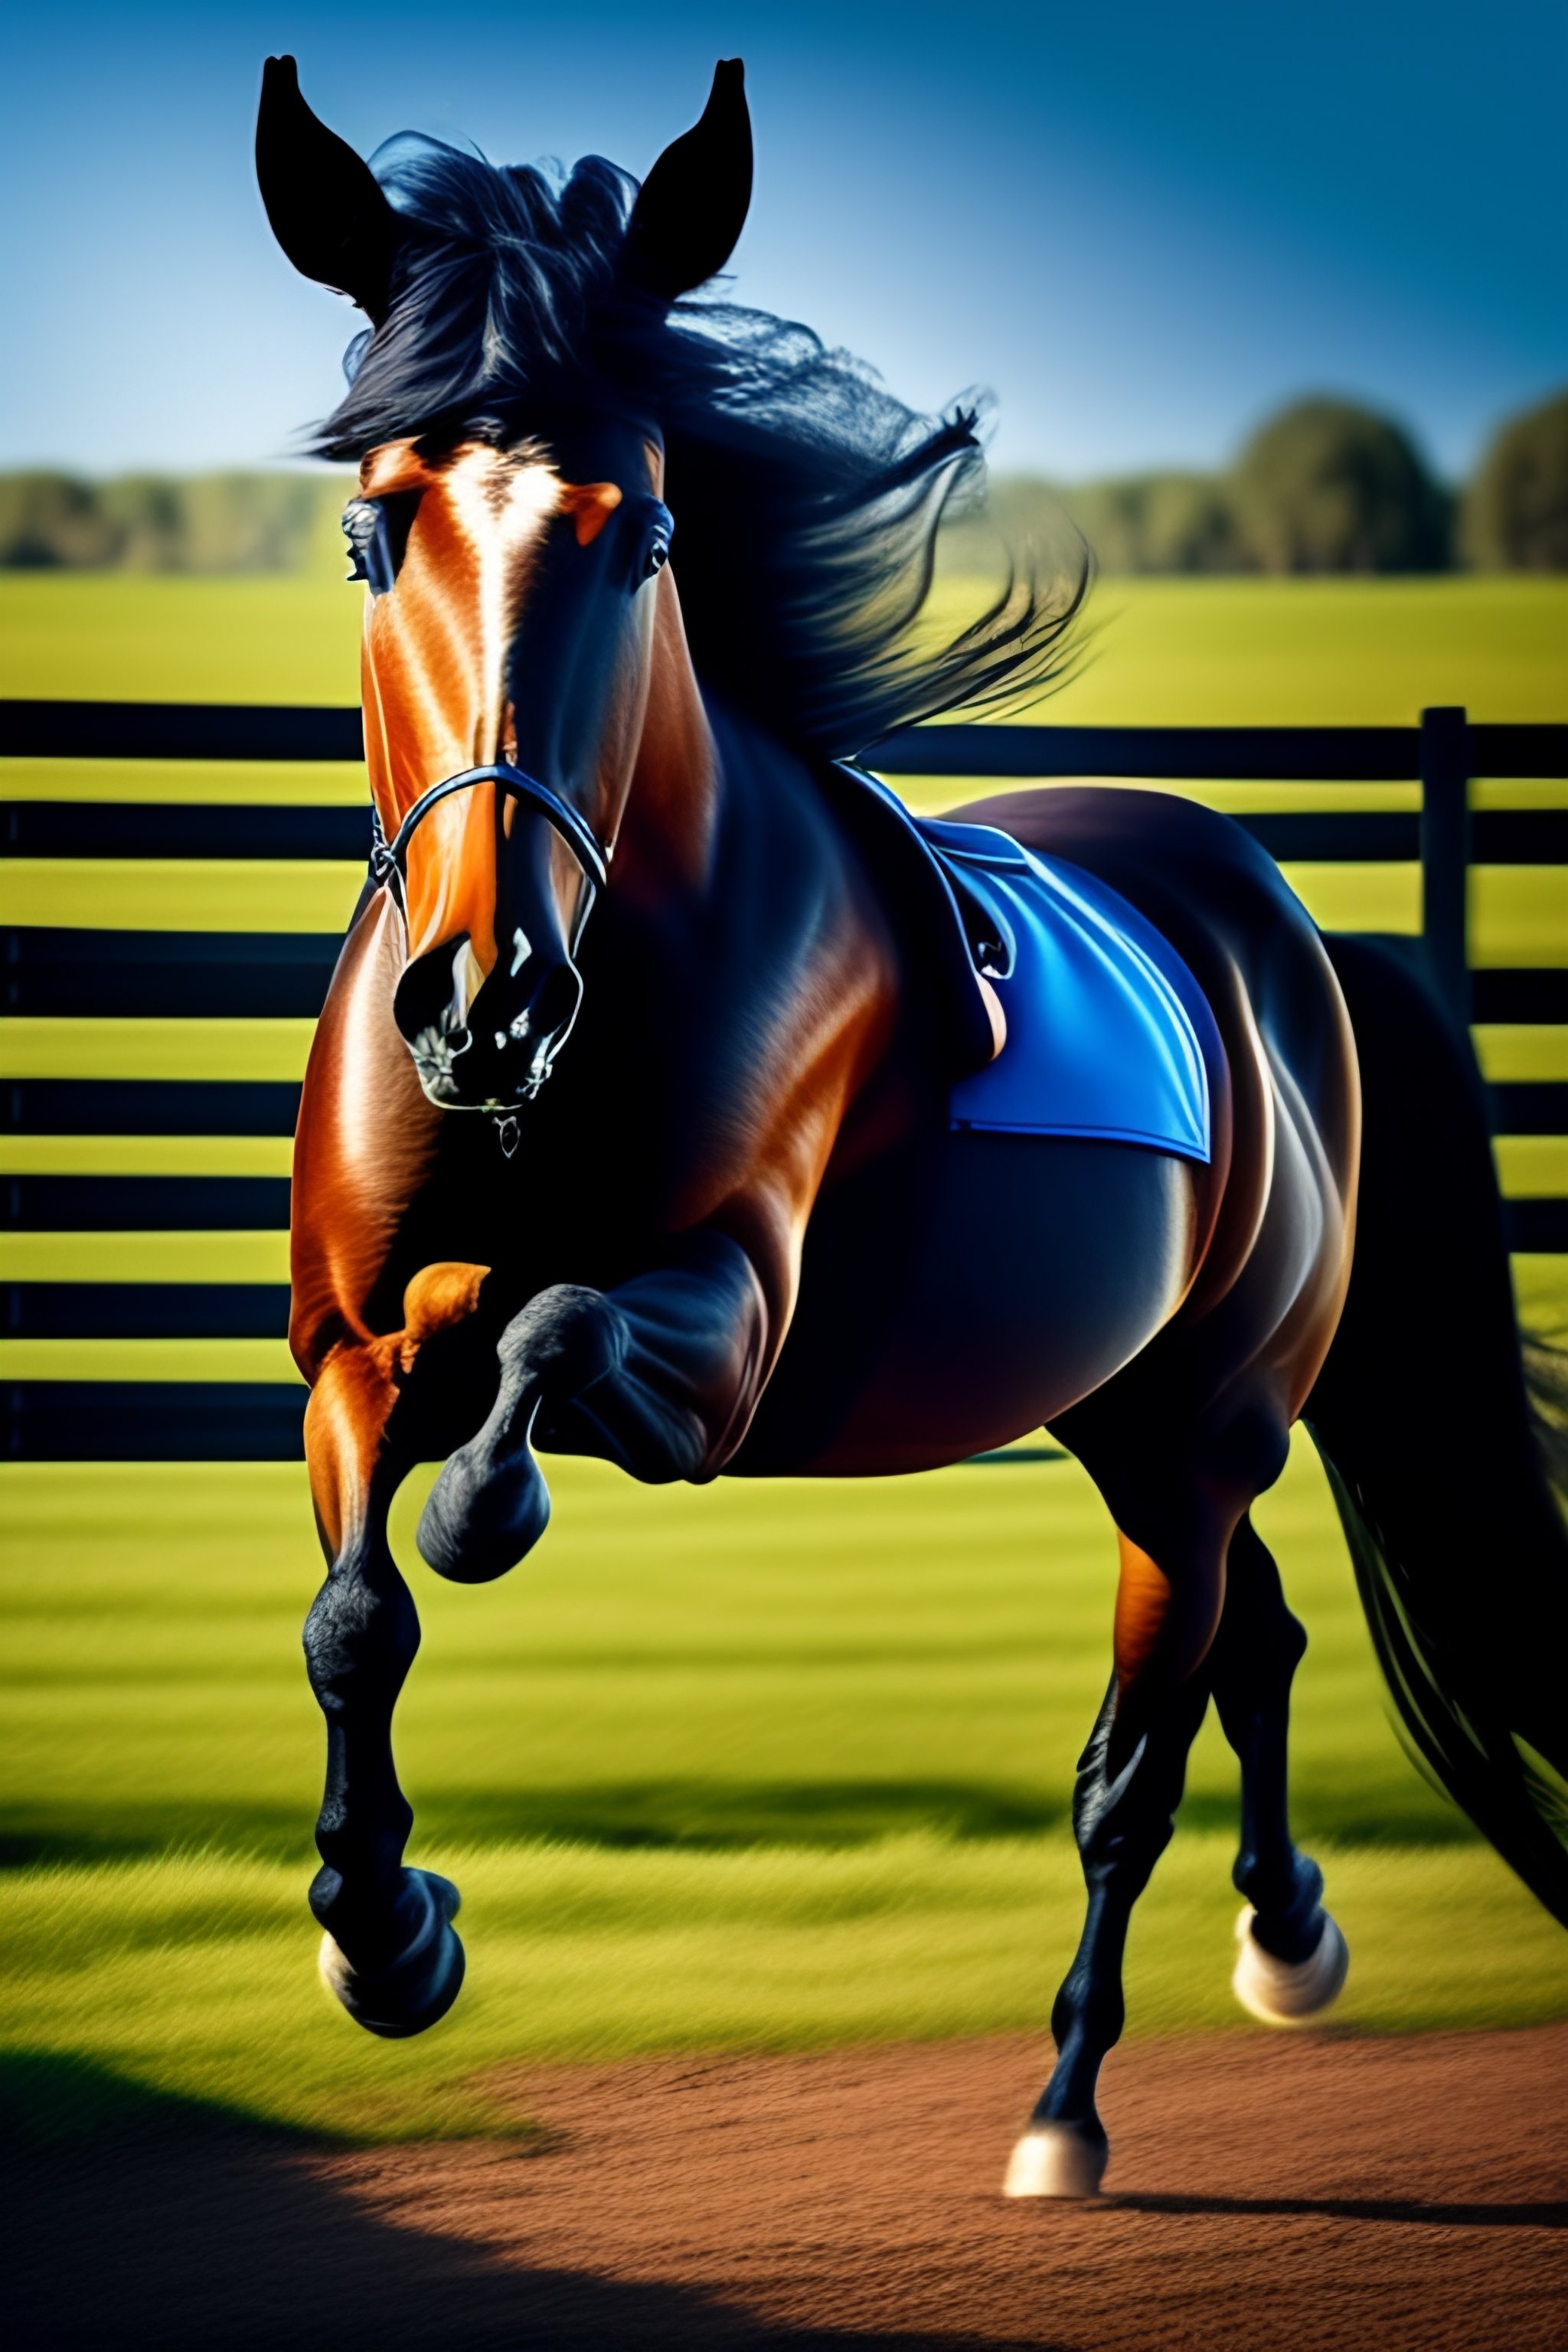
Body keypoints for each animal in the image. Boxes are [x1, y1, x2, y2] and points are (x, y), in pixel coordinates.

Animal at [255, 54, 1568, 2196]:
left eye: (644, 536)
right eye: (378, 533)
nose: (481, 999)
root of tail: (1284, 929)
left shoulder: (723, 1353)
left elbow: (548, 1340)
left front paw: (485, 1504)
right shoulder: (347, 1348)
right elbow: (356, 1609)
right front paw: (388, 1935)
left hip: (1205, 1426)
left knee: (1137, 1752)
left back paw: (1068, 2106)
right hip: (1122, 1408)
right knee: (1259, 1637)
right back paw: (1285, 1932)